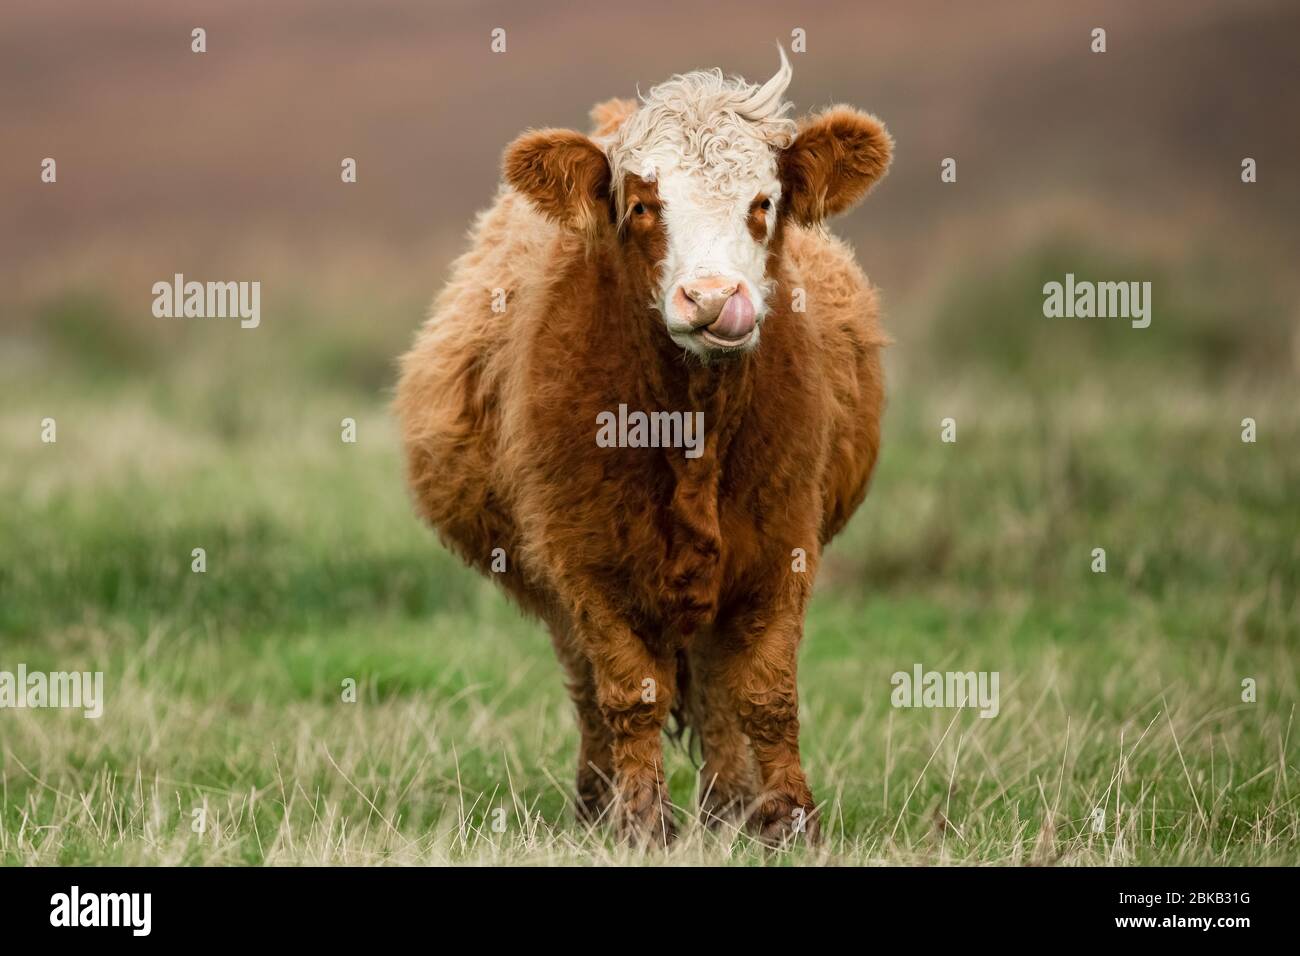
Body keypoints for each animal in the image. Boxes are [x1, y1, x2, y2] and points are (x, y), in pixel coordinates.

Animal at [395, 50, 891, 846]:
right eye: (641, 207)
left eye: (763, 203)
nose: (713, 298)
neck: (692, 421)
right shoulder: (584, 559)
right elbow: (630, 693)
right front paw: (638, 823)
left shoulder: (784, 543)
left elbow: (766, 693)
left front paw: (788, 819)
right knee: (591, 694)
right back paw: (598, 804)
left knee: (716, 692)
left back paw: (727, 806)